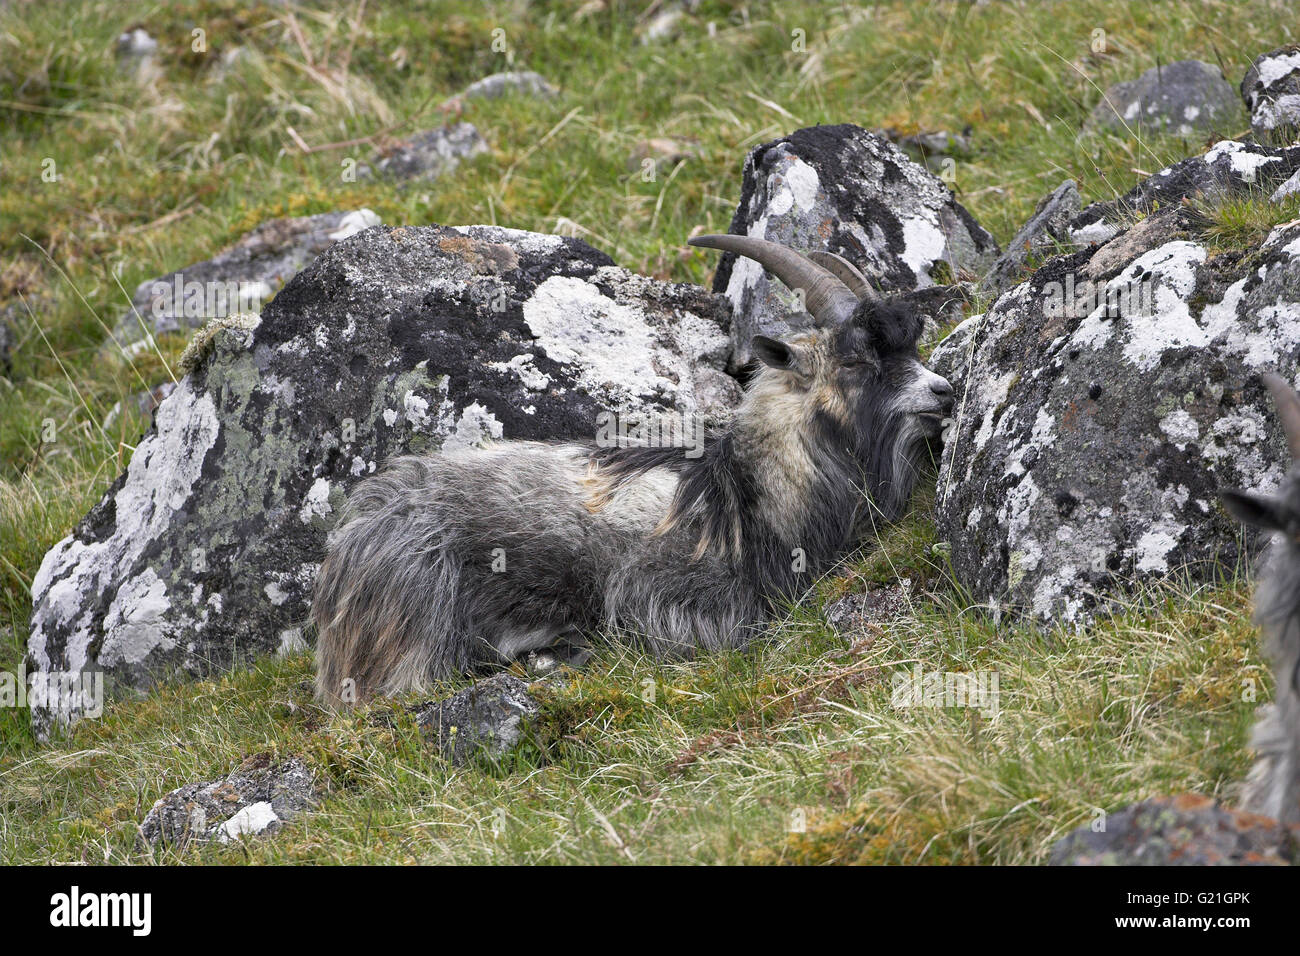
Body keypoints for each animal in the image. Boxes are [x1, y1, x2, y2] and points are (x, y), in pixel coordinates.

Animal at [312, 235, 955, 706]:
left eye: (908, 348)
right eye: (853, 361)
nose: (944, 392)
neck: (748, 490)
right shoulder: (666, 595)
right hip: (416, 624)